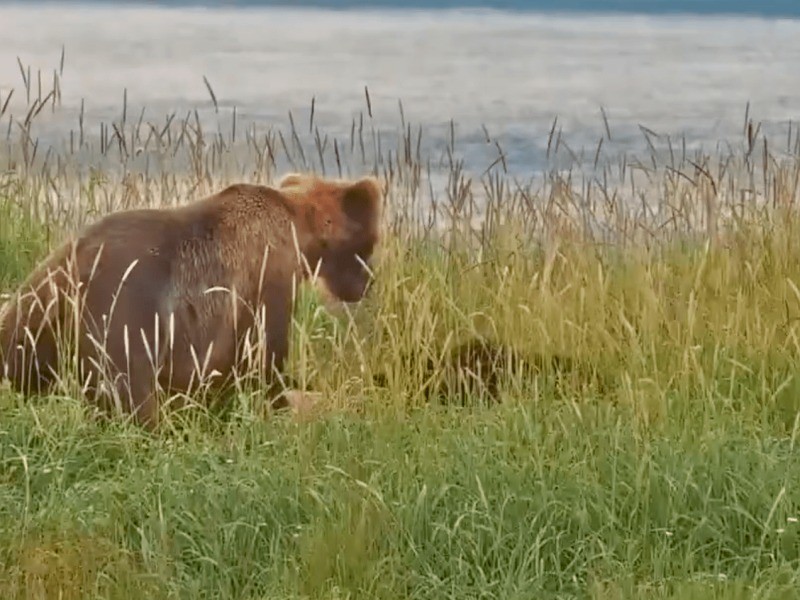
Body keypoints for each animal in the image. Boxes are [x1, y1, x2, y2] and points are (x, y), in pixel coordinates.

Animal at [0, 172, 383, 430]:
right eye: (371, 243)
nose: (367, 284)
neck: (297, 230)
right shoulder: (265, 281)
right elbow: (263, 357)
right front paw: (280, 401)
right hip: (121, 309)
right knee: (129, 389)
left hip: (38, 300)